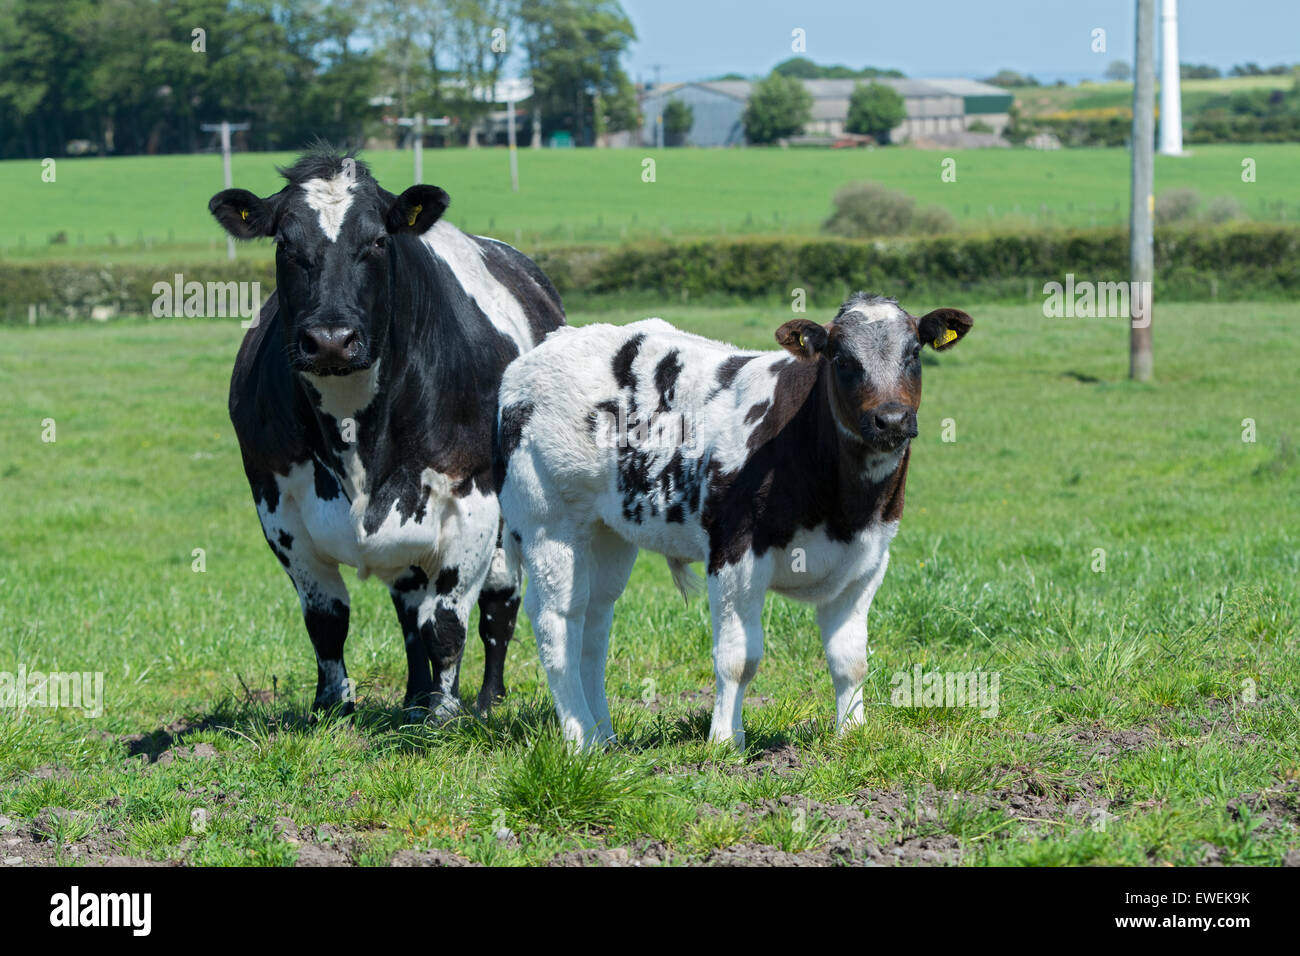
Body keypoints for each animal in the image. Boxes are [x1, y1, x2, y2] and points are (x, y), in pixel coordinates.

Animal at [210, 147, 565, 723]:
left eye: (377, 240)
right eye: (285, 243)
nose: (331, 339)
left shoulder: (471, 500)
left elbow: (447, 623)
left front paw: (445, 715)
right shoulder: (277, 504)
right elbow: (328, 621)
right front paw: (333, 710)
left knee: (499, 602)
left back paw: (485, 700)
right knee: (408, 610)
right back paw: (413, 699)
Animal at [496, 293, 972, 748]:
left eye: (914, 352)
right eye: (841, 359)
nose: (890, 419)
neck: (844, 506)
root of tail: (536, 355)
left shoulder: (868, 560)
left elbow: (849, 660)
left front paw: (851, 733)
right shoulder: (734, 551)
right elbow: (738, 658)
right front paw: (726, 740)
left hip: (607, 531)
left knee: (595, 622)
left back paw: (604, 736)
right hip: (549, 523)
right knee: (559, 622)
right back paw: (580, 739)